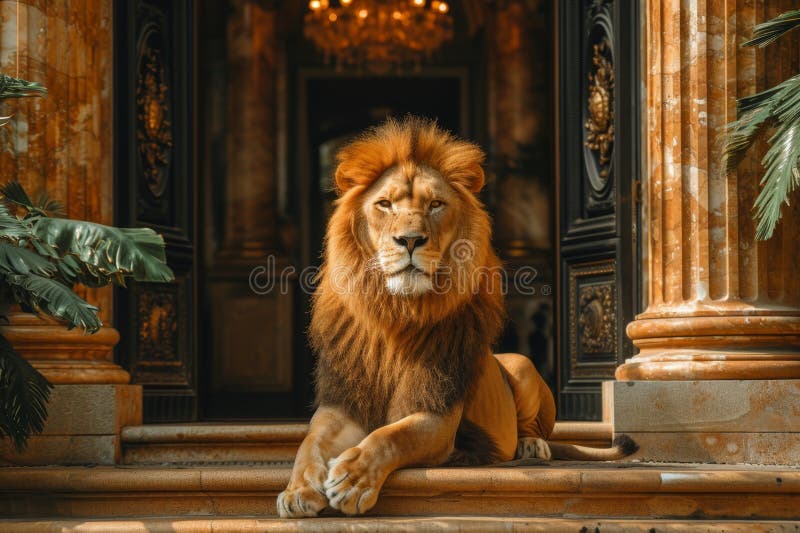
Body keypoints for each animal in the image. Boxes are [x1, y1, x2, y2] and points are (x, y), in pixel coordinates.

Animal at [278, 117, 637, 518]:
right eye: (384, 204)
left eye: (435, 204)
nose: (410, 240)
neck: (395, 313)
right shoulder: (342, 402)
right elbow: (309, 441)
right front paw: (297, 490)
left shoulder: (437, 414)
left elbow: (391, 436)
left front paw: (352, 479)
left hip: (522, 364)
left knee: (536, 431)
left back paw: (531, 447)